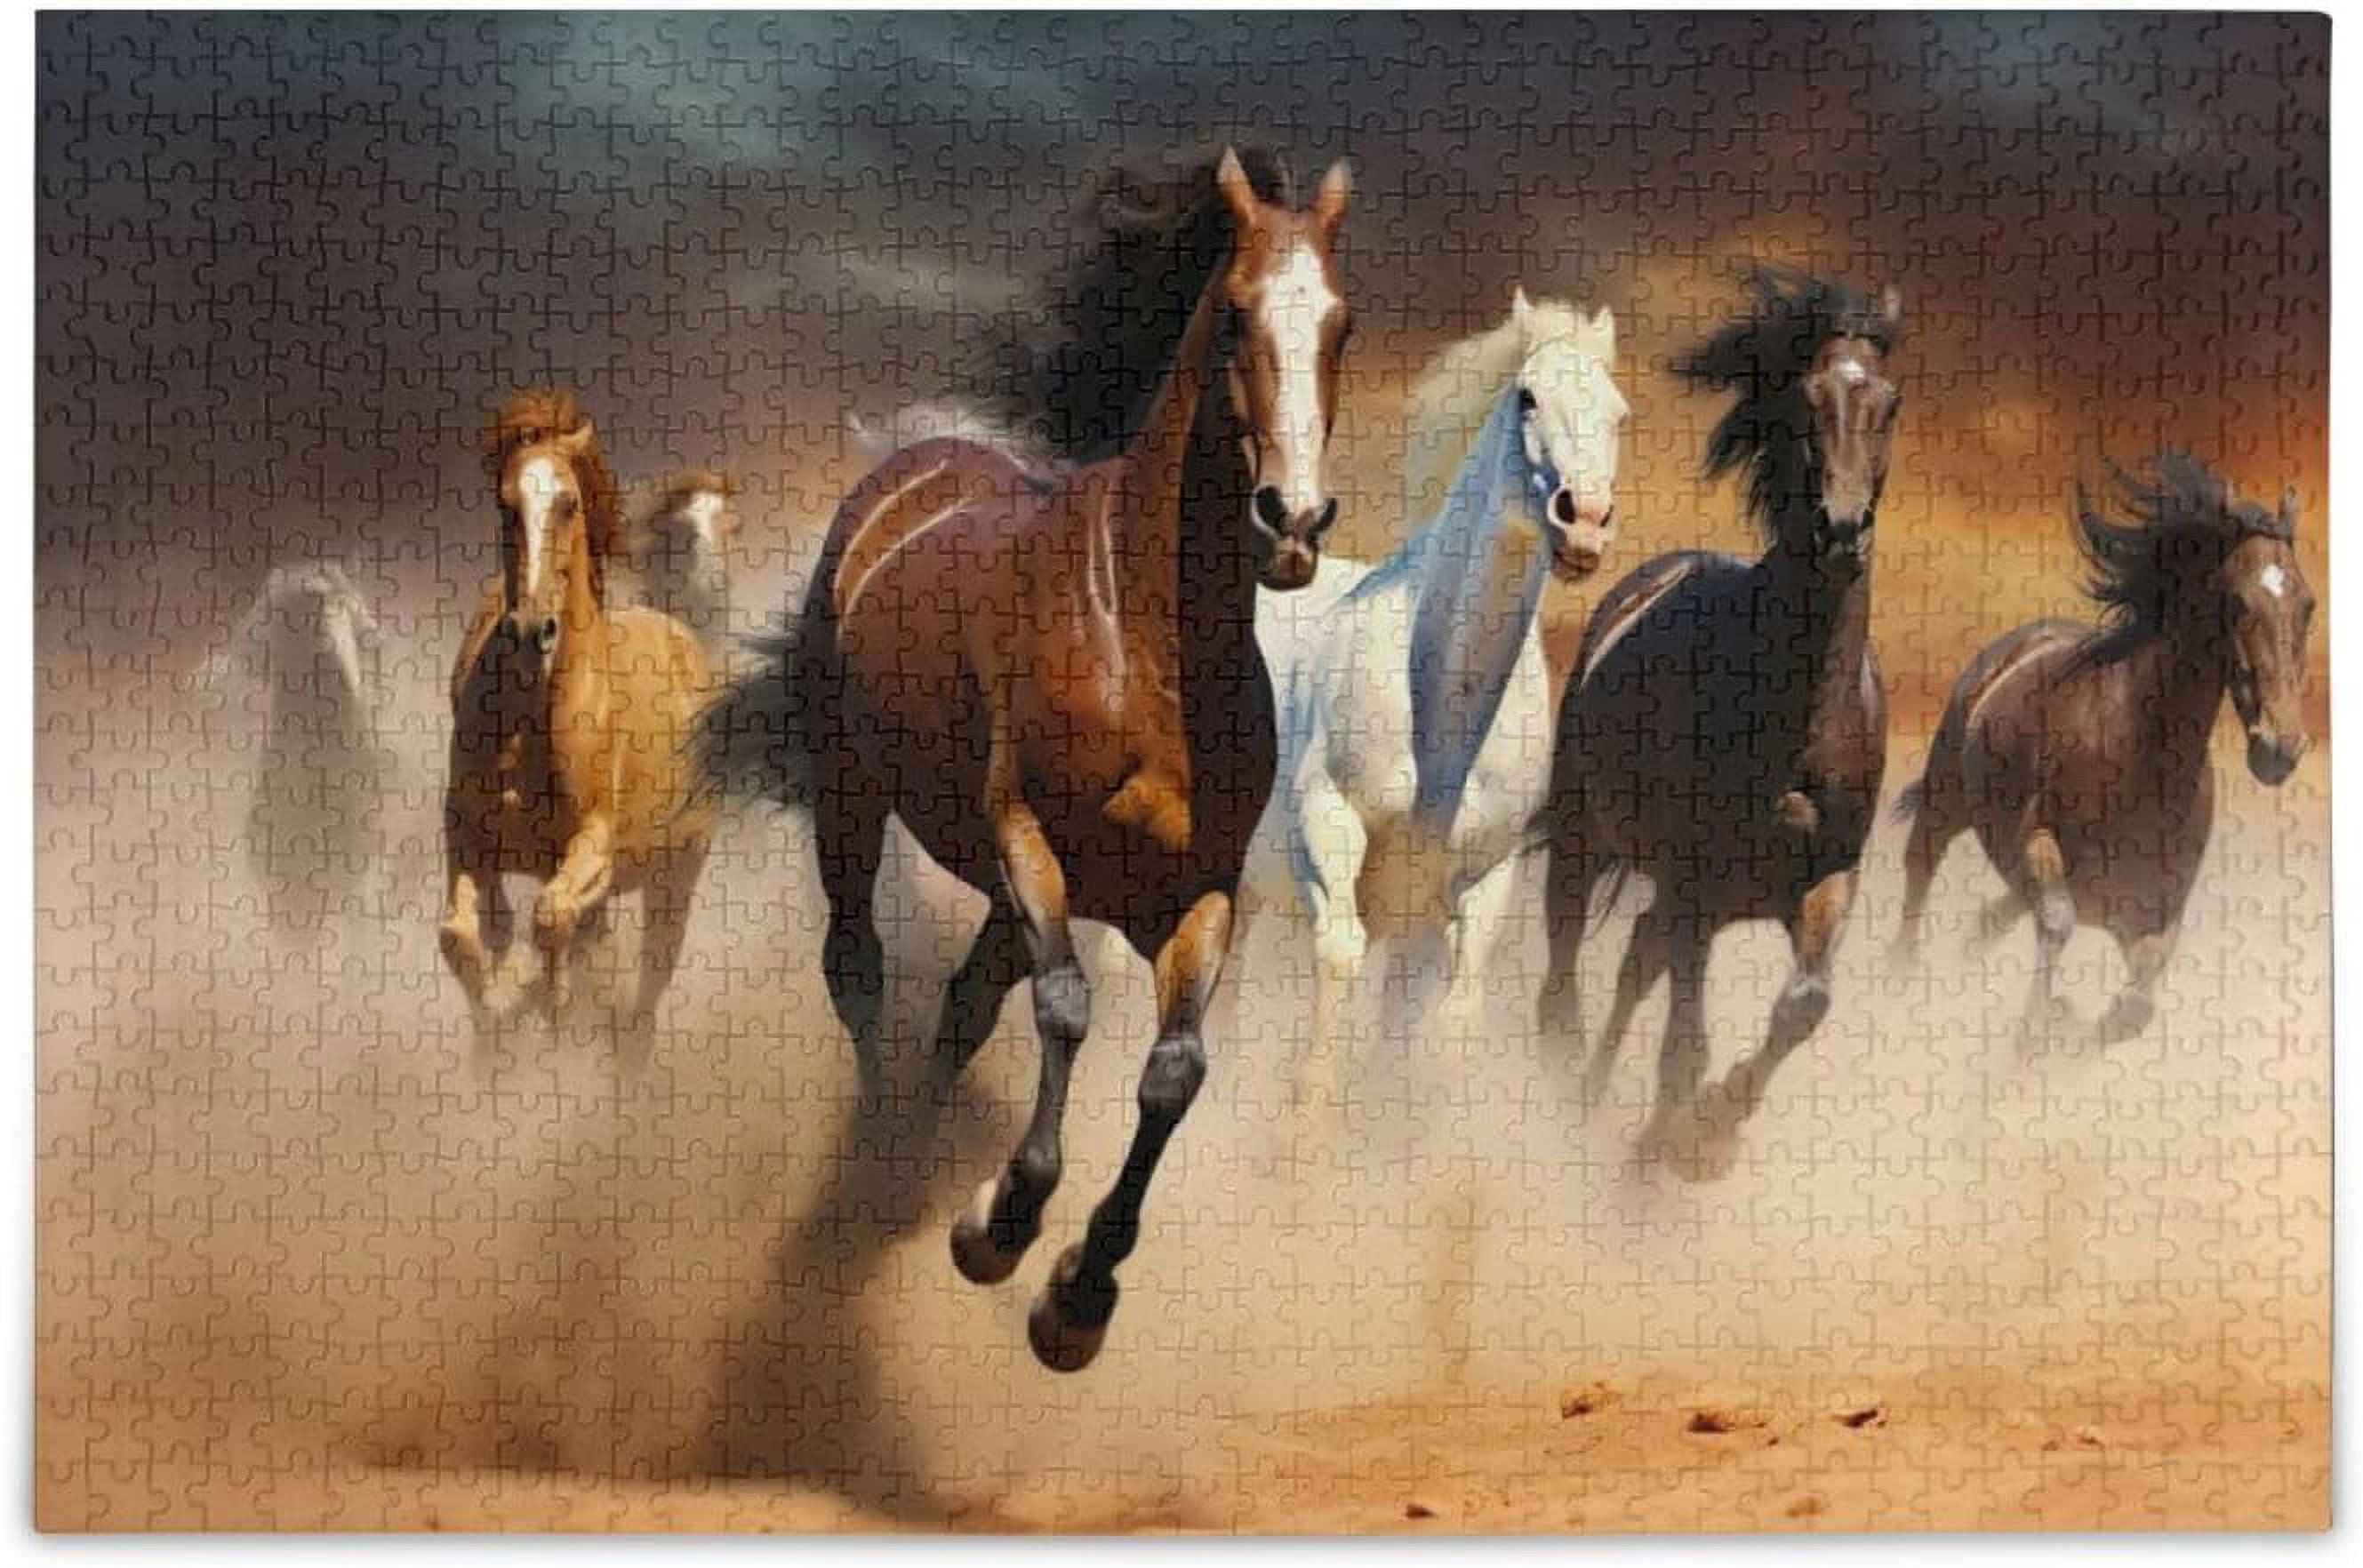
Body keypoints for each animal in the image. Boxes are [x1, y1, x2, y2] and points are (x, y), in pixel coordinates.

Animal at [439, 389, 717, 1047]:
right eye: (505, 504)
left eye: (568, 503)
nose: (530, 631)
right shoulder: (467, 835)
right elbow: (462, 935)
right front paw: (500, 1005)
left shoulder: (595, 844)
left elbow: (551, 917)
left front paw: (551, 1001)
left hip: (677, 876)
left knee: (646, 995)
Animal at [700, 147, 1352, 1371]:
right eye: (1237, 316)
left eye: (1341, 321)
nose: (1291, 521)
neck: (1147, 649)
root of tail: (909, 470)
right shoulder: (1026, 845)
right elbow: (1065, 1009)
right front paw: (1003, 1227)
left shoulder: (1198, 892)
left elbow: (1174, 1072)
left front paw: (1078, 1296)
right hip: (854, 799)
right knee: (858, 969)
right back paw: (879, 1171)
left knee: (962, 1004)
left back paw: (912, 1177)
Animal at [1258, 288, 1624, 1113]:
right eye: (1527, 398)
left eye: (1620, 415)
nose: (1583, 521)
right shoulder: (1327, 823)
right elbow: (1340, 956)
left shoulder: (1476, 882)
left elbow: (1448, 1024)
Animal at [1535, 267, 1903, 1180]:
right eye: (1805, 398)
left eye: (1889, 402)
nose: (1843, 530)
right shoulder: (1694, 888)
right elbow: (1685, 1046)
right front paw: (1679, 1143)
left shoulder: (1824, 879)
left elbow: (1802, 1006)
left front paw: (1708, 1132)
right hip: (1581, 841)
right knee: (1565, 970)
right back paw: (1568, 1088)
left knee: (1634, 964)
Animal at [1892, 452, 2313, 1049]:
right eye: (2236, 602)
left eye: (2308, 605)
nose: (2281, 748)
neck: (2140, 754)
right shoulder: (2038, 840)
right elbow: (2058, 922)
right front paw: (2036, 1032)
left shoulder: (2155, 909)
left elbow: (2133, 1009)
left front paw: (2066, 1027)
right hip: (1944, 801)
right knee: (1919, 871)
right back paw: (1897, 981)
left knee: (1990, 918)